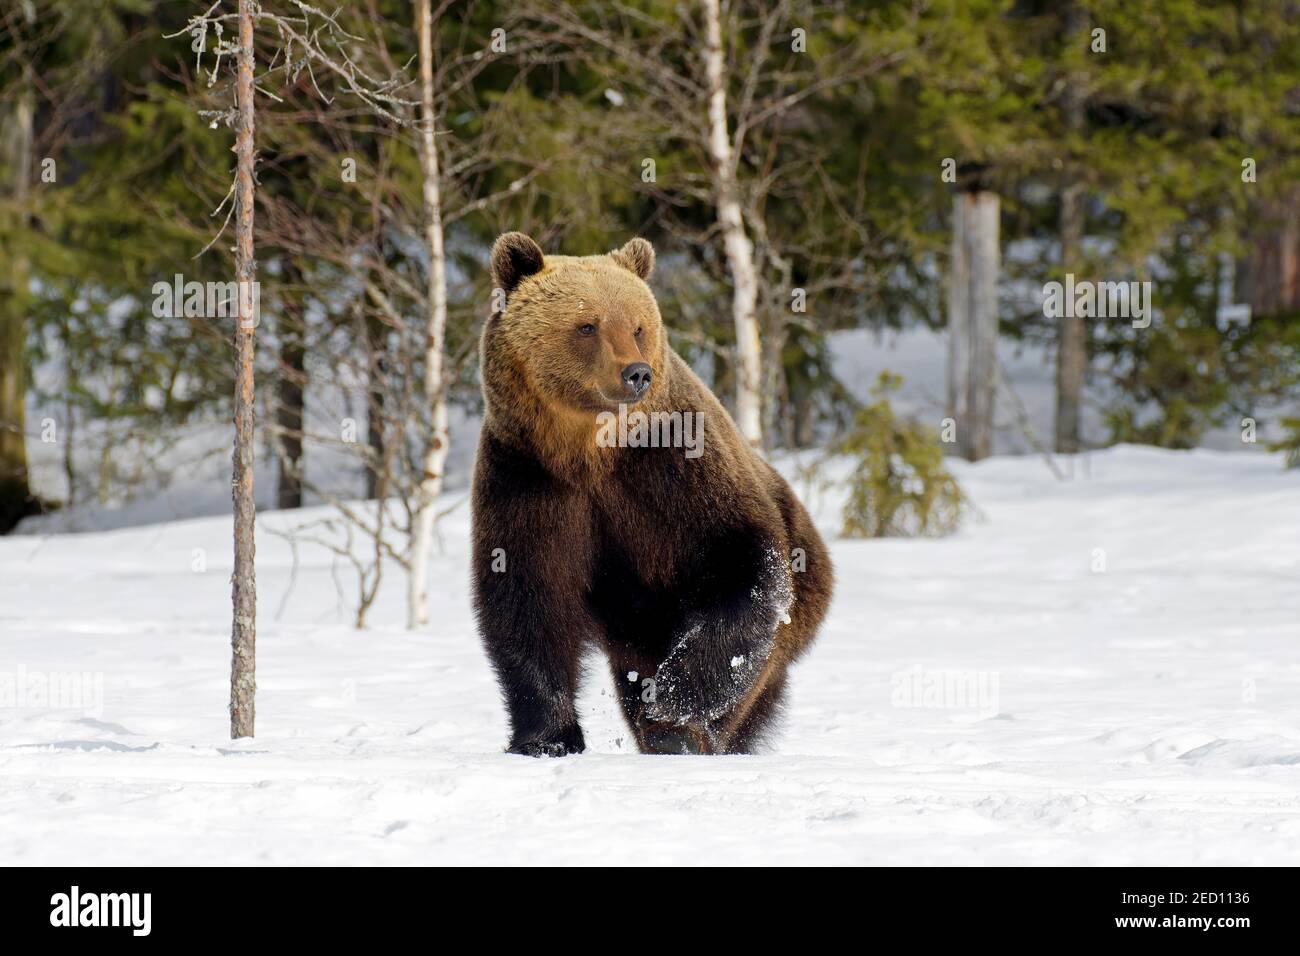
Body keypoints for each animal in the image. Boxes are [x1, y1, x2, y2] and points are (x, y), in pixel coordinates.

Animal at [471, 232, 833, 756]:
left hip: (800, 599)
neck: (590, 452)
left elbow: (741, 567)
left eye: (638, 326)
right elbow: (527, 596)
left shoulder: (674, 472)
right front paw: (547, 737)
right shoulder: (528, 478)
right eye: (588, 325)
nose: (636, 373)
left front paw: (672, 714)